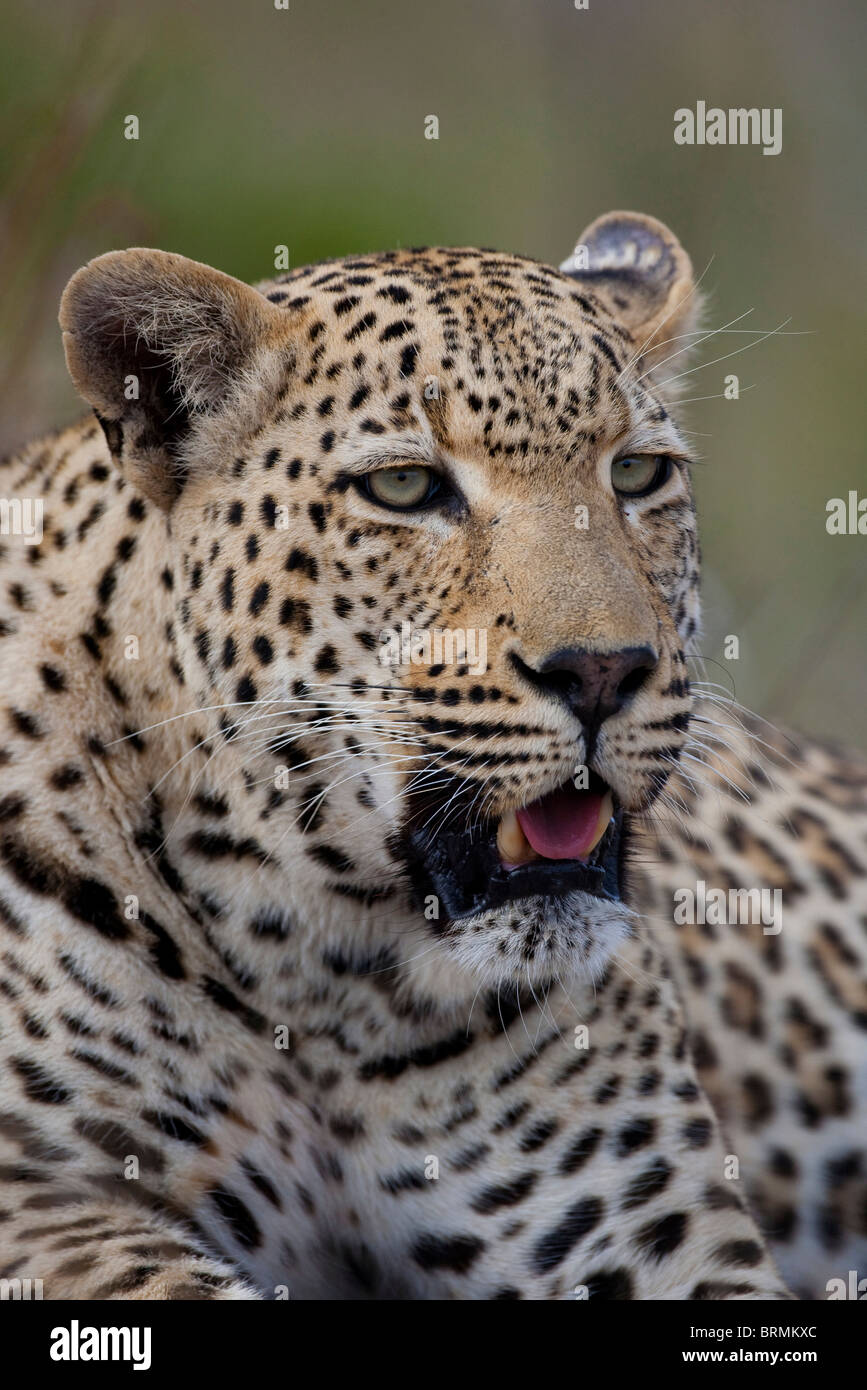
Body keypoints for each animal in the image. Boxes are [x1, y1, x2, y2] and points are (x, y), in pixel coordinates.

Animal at [0, 209, 863, 1300]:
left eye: (636, 473)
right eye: (406, 488)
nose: (602, 669)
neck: (316, 980)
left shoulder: (649, 1241)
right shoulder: (40, 1198)